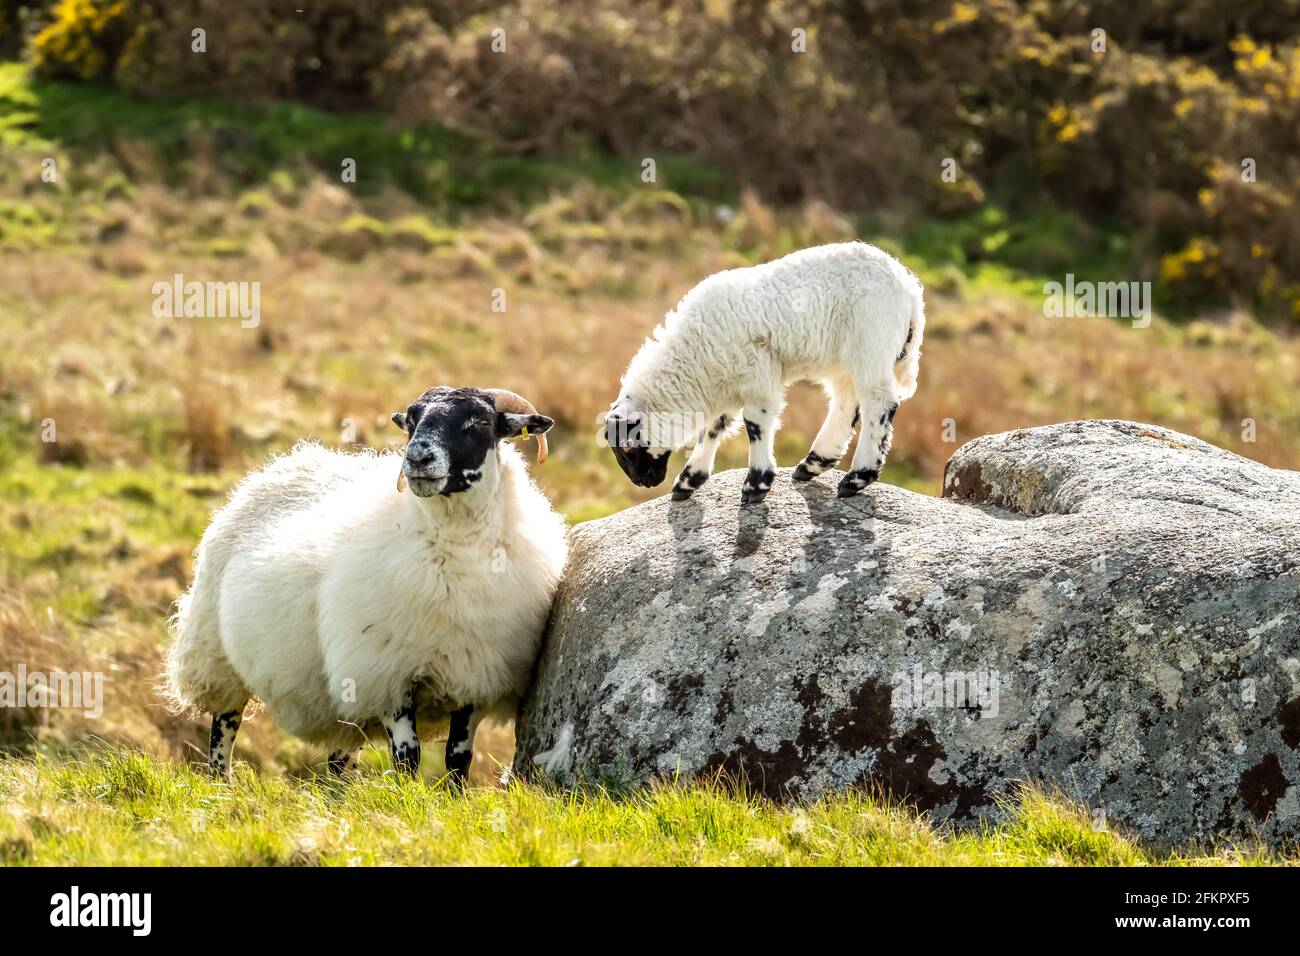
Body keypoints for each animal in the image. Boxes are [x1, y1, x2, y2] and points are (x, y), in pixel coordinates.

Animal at [165, 387, 567, 784]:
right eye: (412, 422)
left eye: (481, 422)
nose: (417, 458)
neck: (455, 546)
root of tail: (284, 466)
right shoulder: (386, 677)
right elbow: (408, 757)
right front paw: (409, 799)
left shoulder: (475, 682)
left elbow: (457, 761)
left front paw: (453, 794)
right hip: (216, 658)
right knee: (222, 729)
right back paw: (222, 784)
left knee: (338, 760)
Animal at [603, 241, 924, 503]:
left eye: (628, 449)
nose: (642, 483)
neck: (693, 361)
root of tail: (909, 289)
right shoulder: (728, 381)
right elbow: (714, 428)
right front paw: (688, 480)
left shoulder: (756, 377)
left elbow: (755, 424)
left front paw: (756, 485)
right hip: (844, 357)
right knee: (846, 401)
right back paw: (813, 463)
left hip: (871, 342)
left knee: (878, 402)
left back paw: (856, 478)